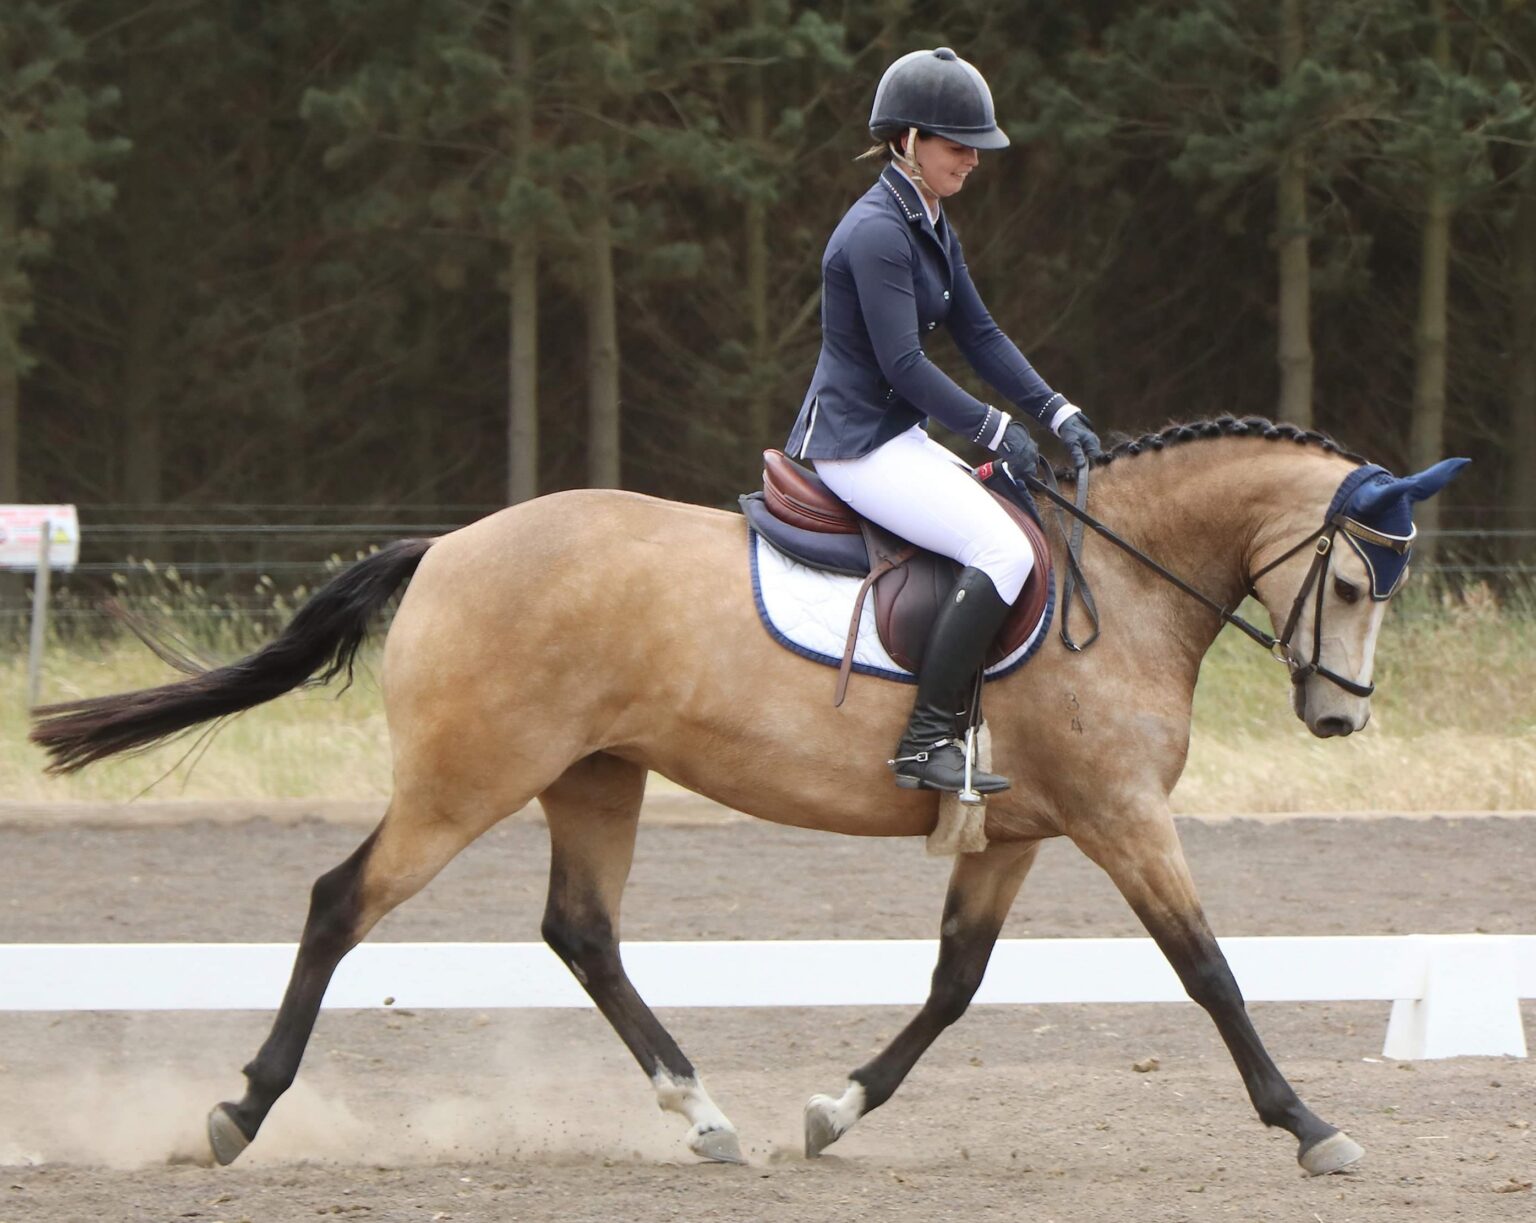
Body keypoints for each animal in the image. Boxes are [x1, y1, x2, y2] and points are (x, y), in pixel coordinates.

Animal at [30, 416, 1459, 1176]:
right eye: (1348, 582)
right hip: (467, 777)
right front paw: (1313, 1126)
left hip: (593, 778)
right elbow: (1210, 969)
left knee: (583, 933)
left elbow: (955, 982)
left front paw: (834, 1108)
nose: (1339, 716)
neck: (1124, 583)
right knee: (341, 901)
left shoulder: (1018, 829)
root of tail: (447, 545)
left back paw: (708, 1117)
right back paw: (237, 1112)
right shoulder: (1120, 818)